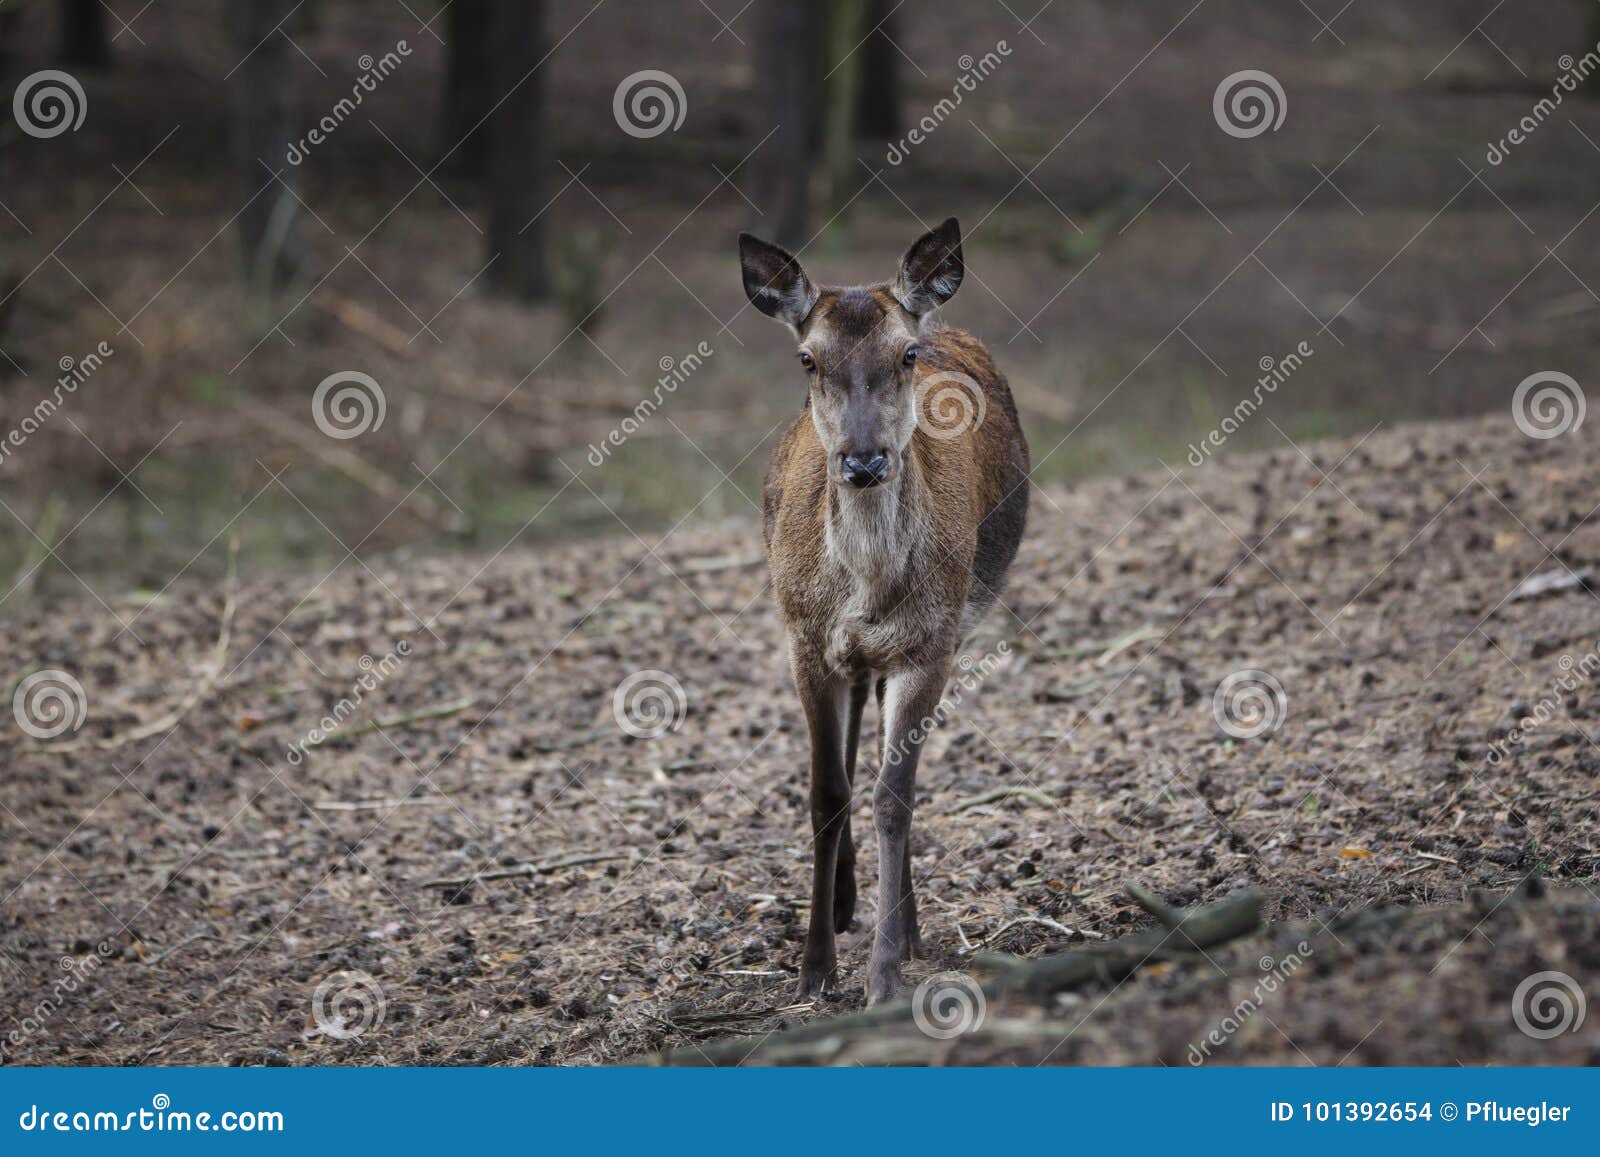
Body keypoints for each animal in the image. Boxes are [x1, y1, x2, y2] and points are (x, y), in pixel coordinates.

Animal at [738, 218, 1030, 1005]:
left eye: (905, 354)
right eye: (808, 359)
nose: (864, 461)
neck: (863, 588)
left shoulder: (931, 645)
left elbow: (893, 794)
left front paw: (885, 974)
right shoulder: (803, 639)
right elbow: (825, 791)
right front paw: (813, 967)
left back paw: (905, 923)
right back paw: (842, 906)